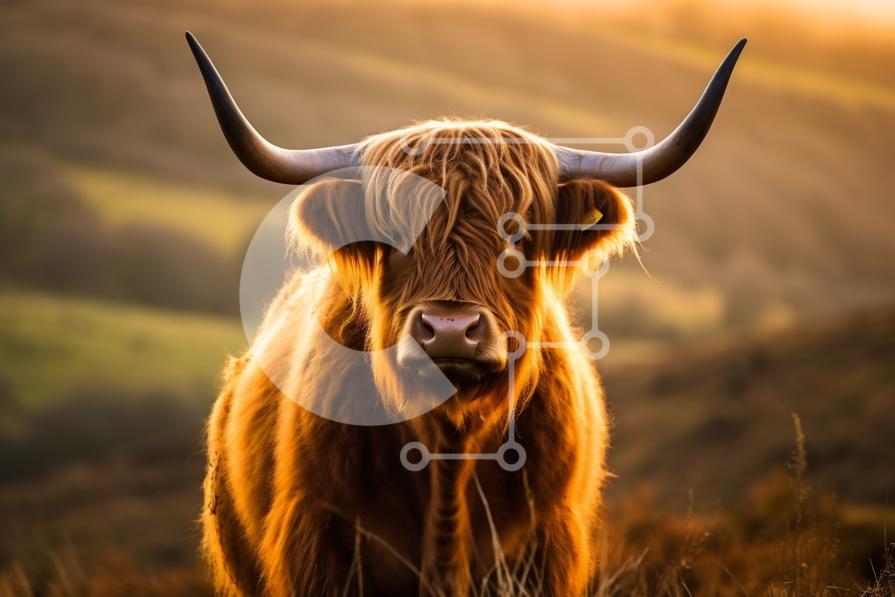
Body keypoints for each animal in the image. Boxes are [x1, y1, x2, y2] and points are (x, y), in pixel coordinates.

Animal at [186, 32, 745, 597]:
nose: (449, 331)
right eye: (393, 234)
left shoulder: (546, 543)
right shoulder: (320, 539)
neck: (450, 446)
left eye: (518, 234)